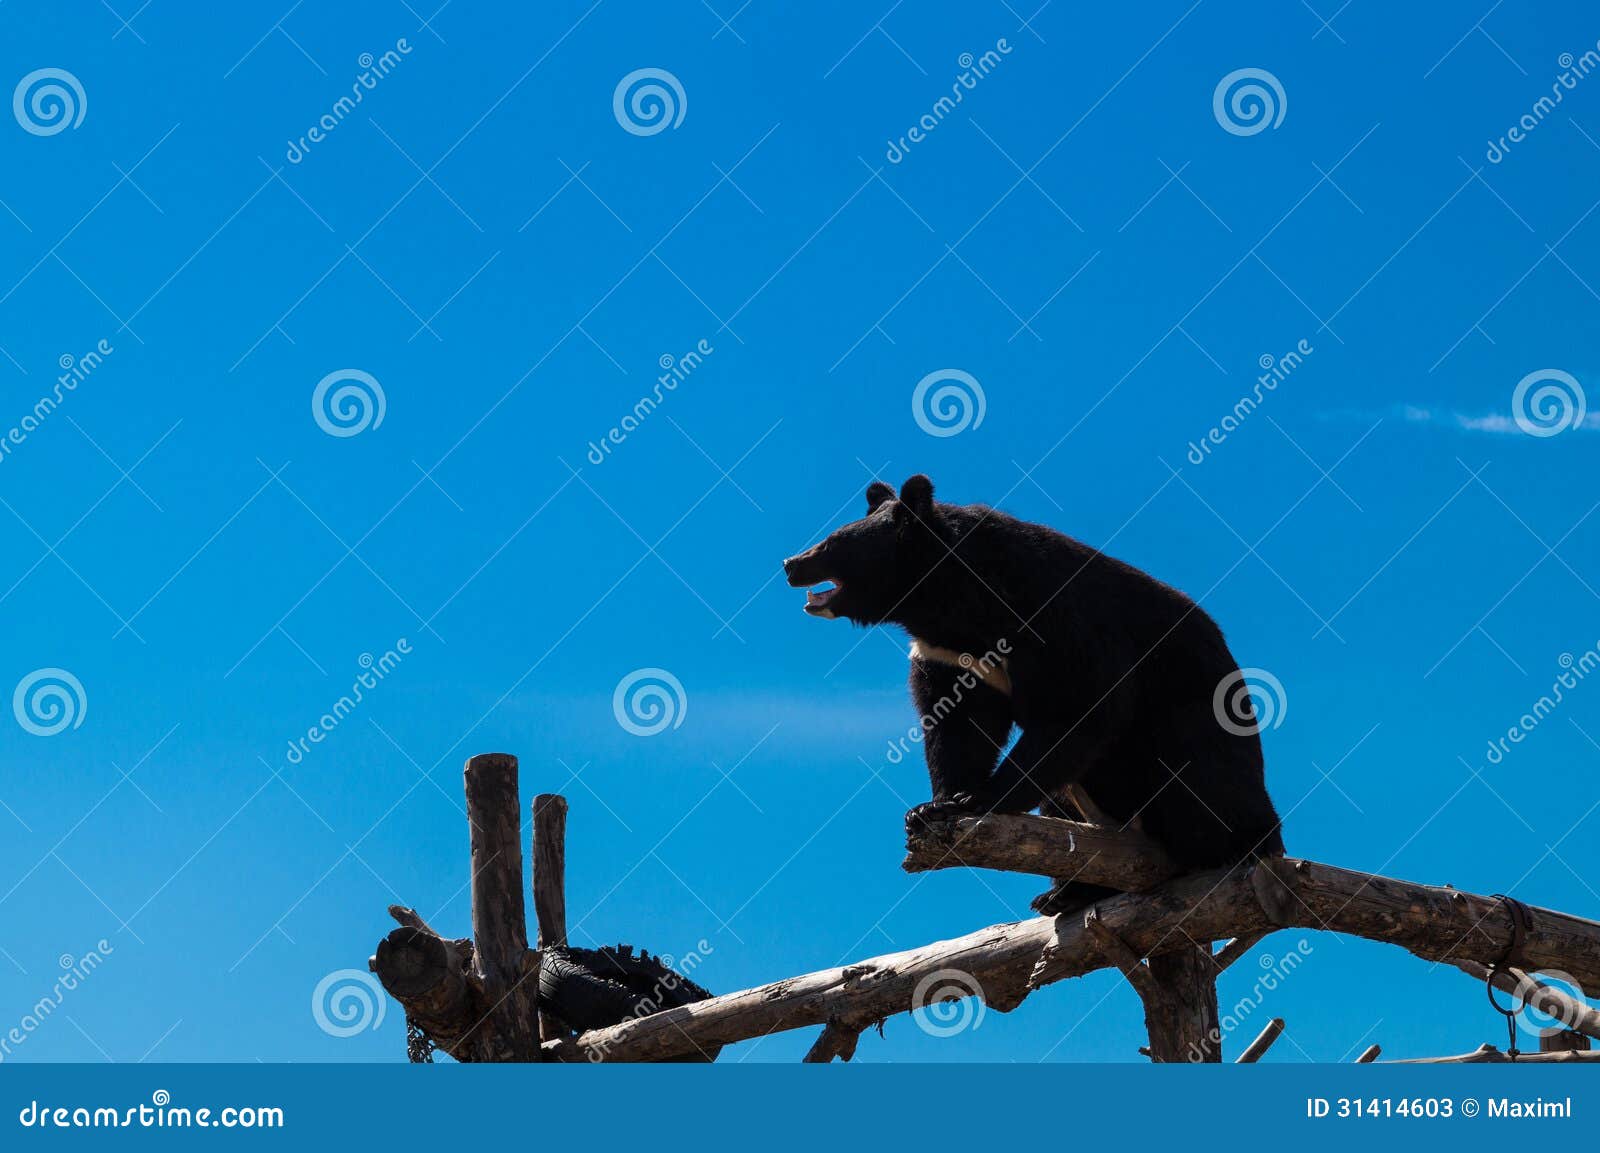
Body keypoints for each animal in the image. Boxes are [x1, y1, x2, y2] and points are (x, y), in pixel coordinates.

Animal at [781, 474, 1284, 914]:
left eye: (832, 544)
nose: (790, 564)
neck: (953, 604)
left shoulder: (1050, 616)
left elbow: (1080, 704)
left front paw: (977, 799)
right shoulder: (949, 655)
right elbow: (958, 724)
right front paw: (932, 805)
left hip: (1196, 720)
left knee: (1198, 776)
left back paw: (1230, 847)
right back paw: (1063, 894)